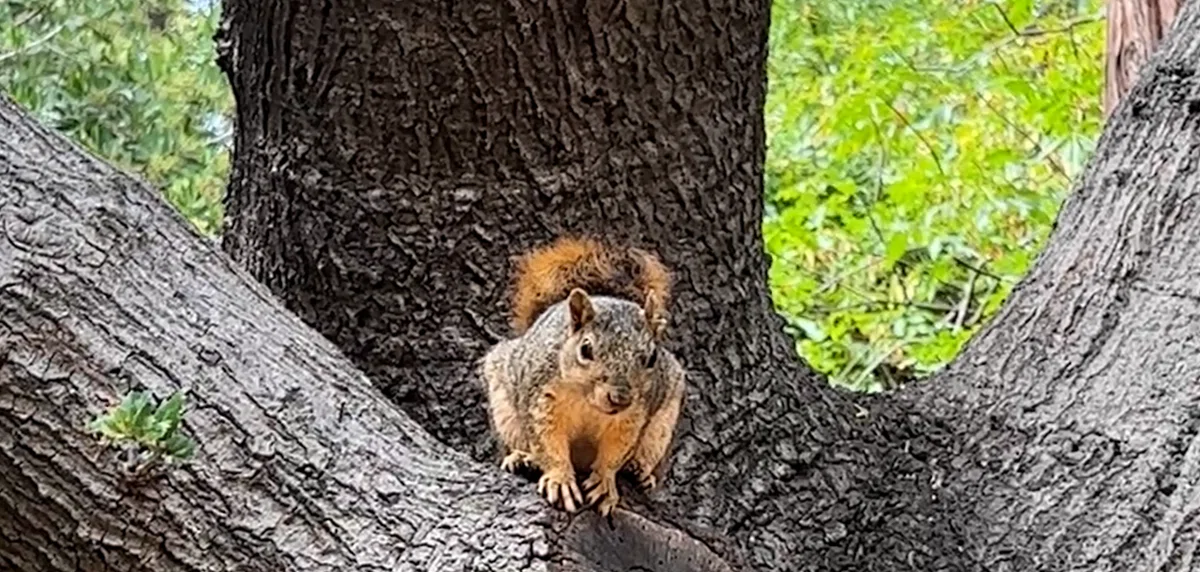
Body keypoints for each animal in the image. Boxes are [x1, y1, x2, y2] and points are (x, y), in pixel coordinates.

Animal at [479, 236, 686, 516]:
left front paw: (605, 483)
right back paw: (521, 458)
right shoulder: (542, 400)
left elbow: (615, 452)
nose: (620, 398)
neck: (589, 402)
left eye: (653, 357)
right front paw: (560, 480)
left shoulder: (633, 416)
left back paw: (639, 472)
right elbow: (548, 442)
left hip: (663, 426)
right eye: (585, 349)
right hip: (504, 411)